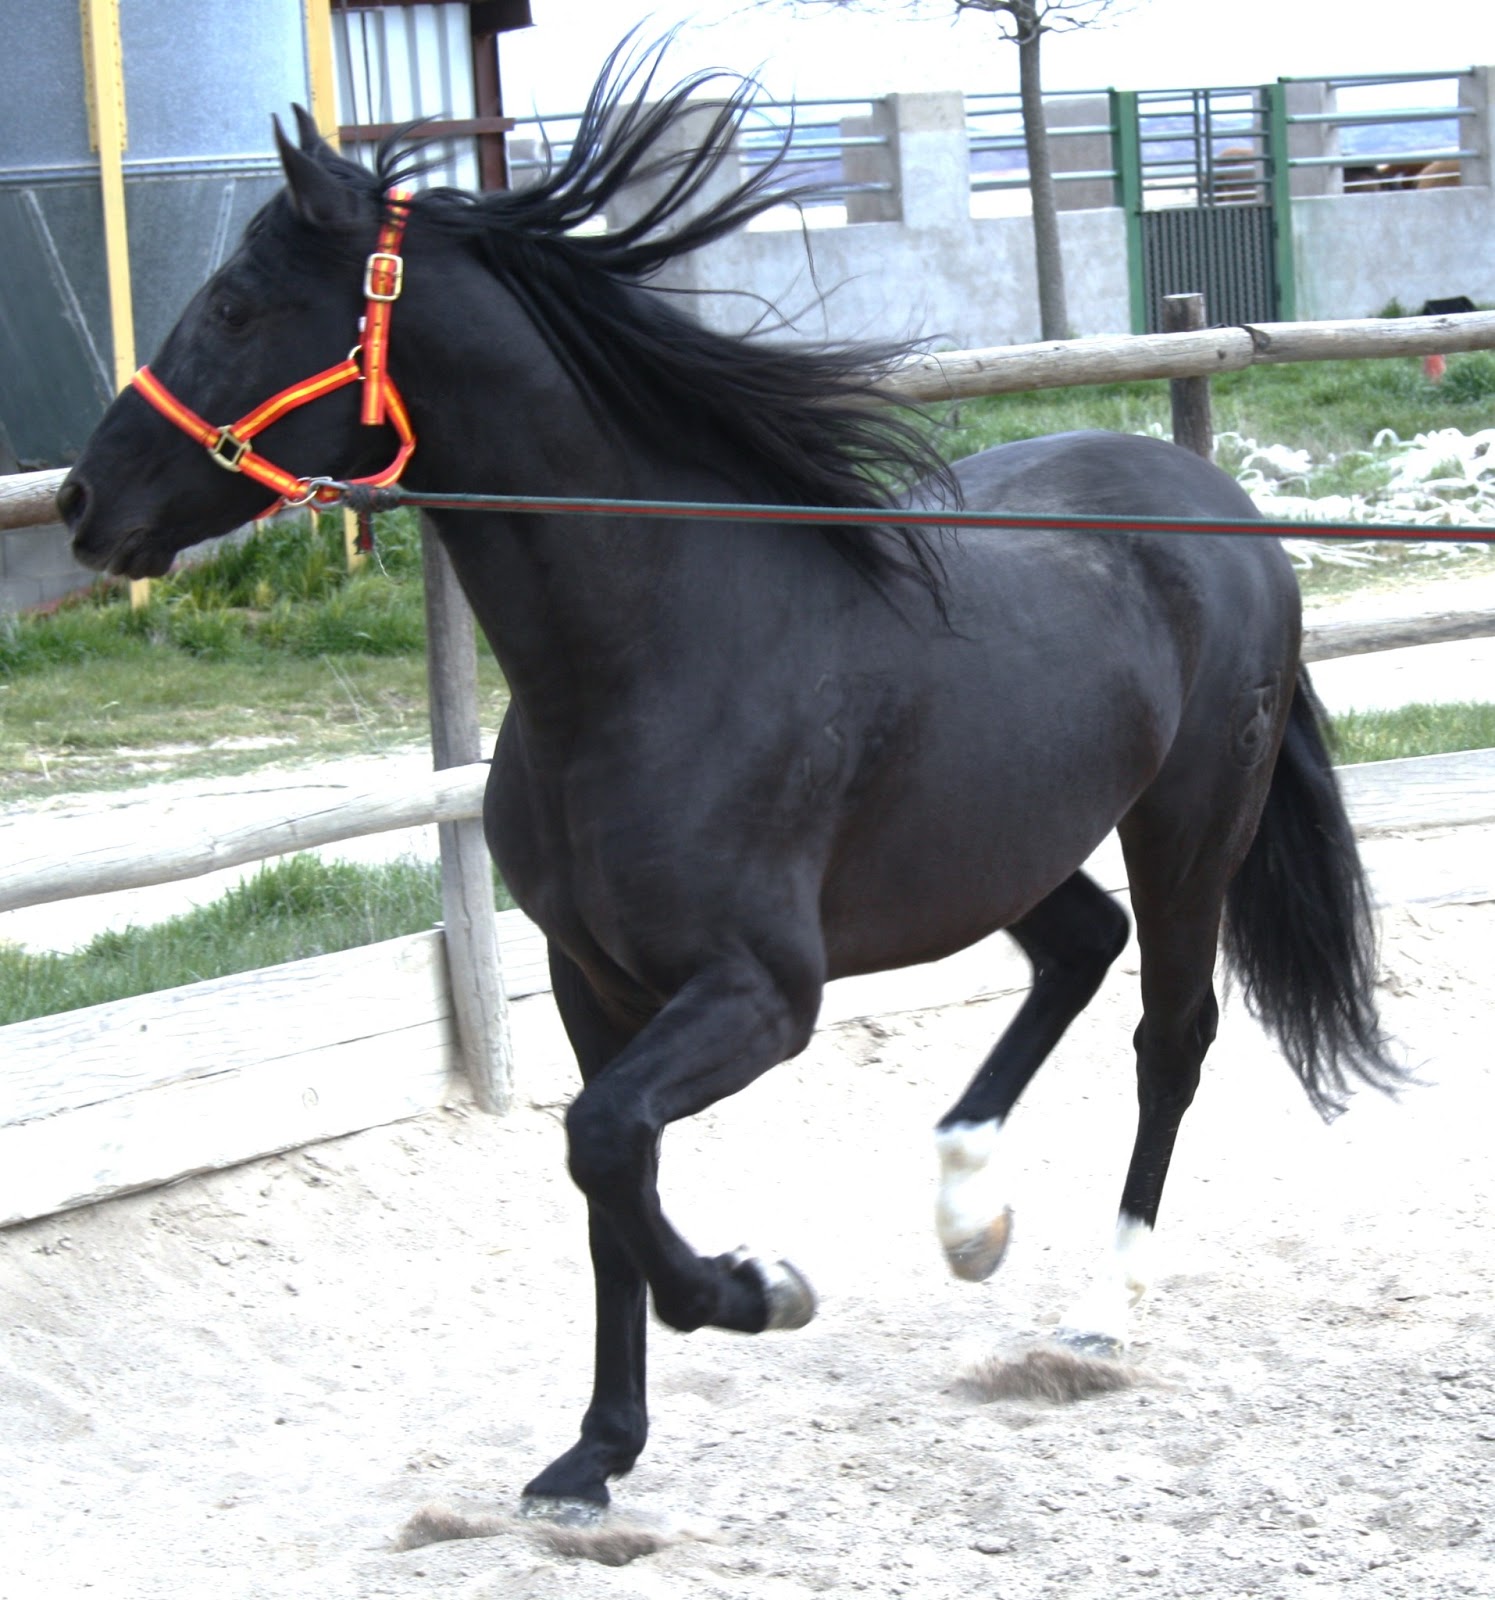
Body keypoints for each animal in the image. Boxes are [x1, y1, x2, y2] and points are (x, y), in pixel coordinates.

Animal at [57, 41, 1405, 1518]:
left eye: (236, 305)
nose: (80, 502)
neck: (653, 653)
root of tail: (1223, 511)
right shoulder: (591, 982)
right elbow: (604, 1176)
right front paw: (592, 1457)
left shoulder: (763, 994)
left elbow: (602, 1145)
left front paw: (756, 1292)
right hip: (997, 851)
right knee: (1077, 950)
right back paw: (968, 1214)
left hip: (1187, 825)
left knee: (1169, 1035)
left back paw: (1098, 1308)